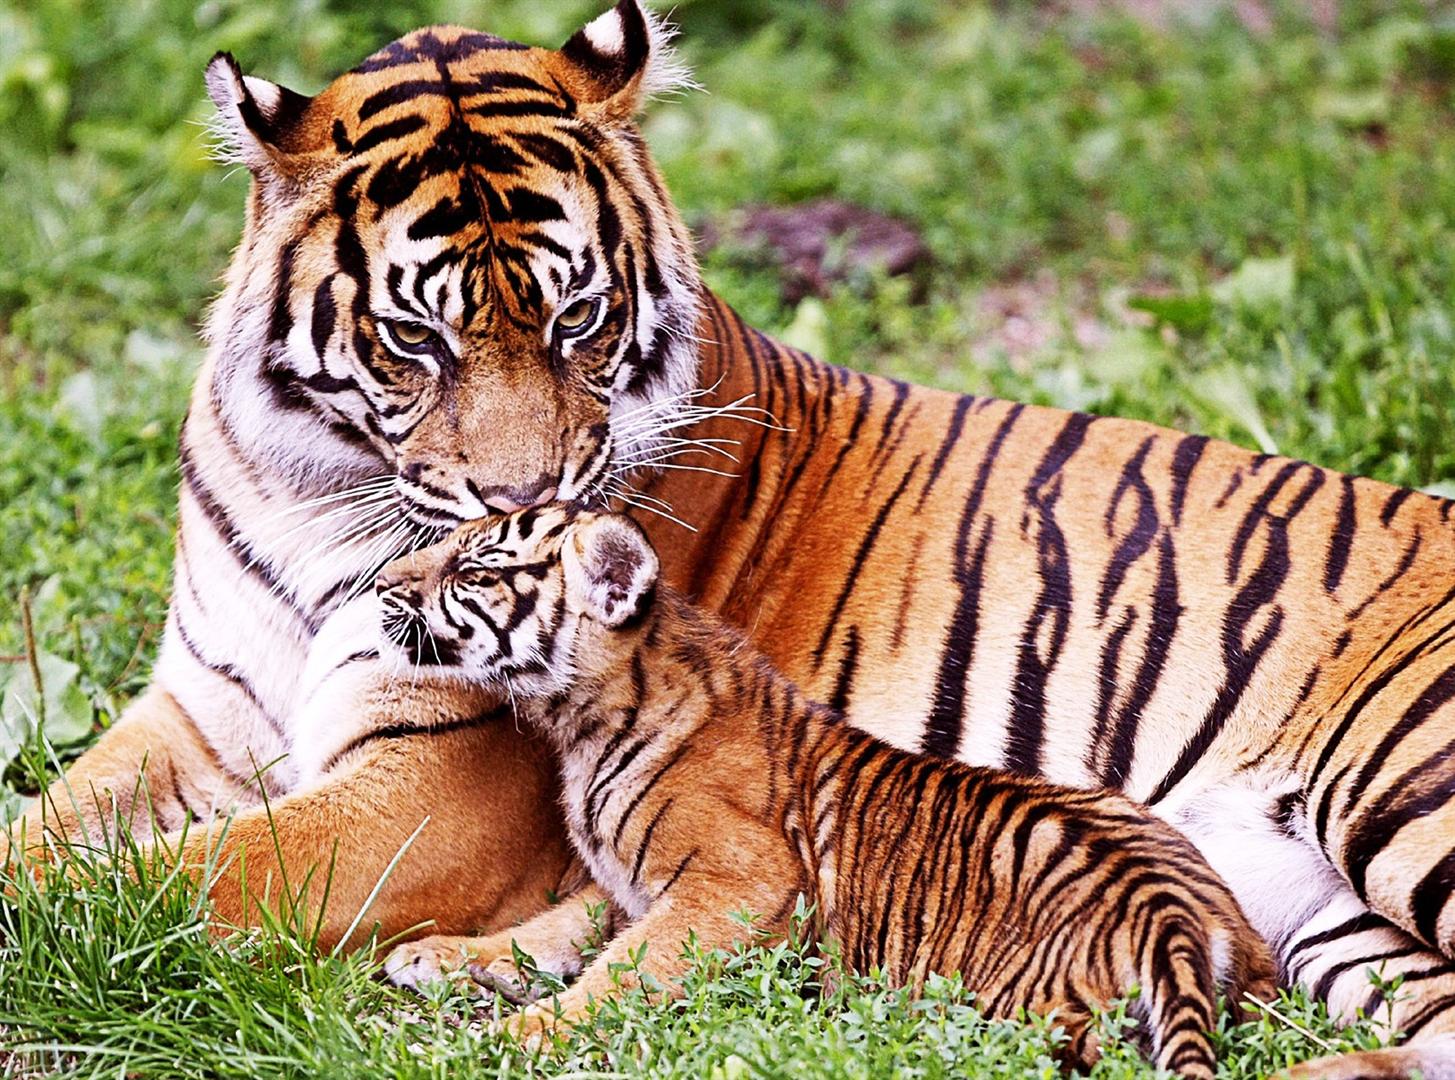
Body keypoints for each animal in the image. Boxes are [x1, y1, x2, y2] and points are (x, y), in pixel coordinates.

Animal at [376, 505, 1278, 1078]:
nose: (383, 585)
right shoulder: (624, 886)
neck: (580, 720)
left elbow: (616, 974)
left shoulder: (737, 883)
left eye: (472, 571)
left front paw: (506, 1039)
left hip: (1013, 1009)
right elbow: (552, 931)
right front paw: (439, 956)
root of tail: (1171, 913)